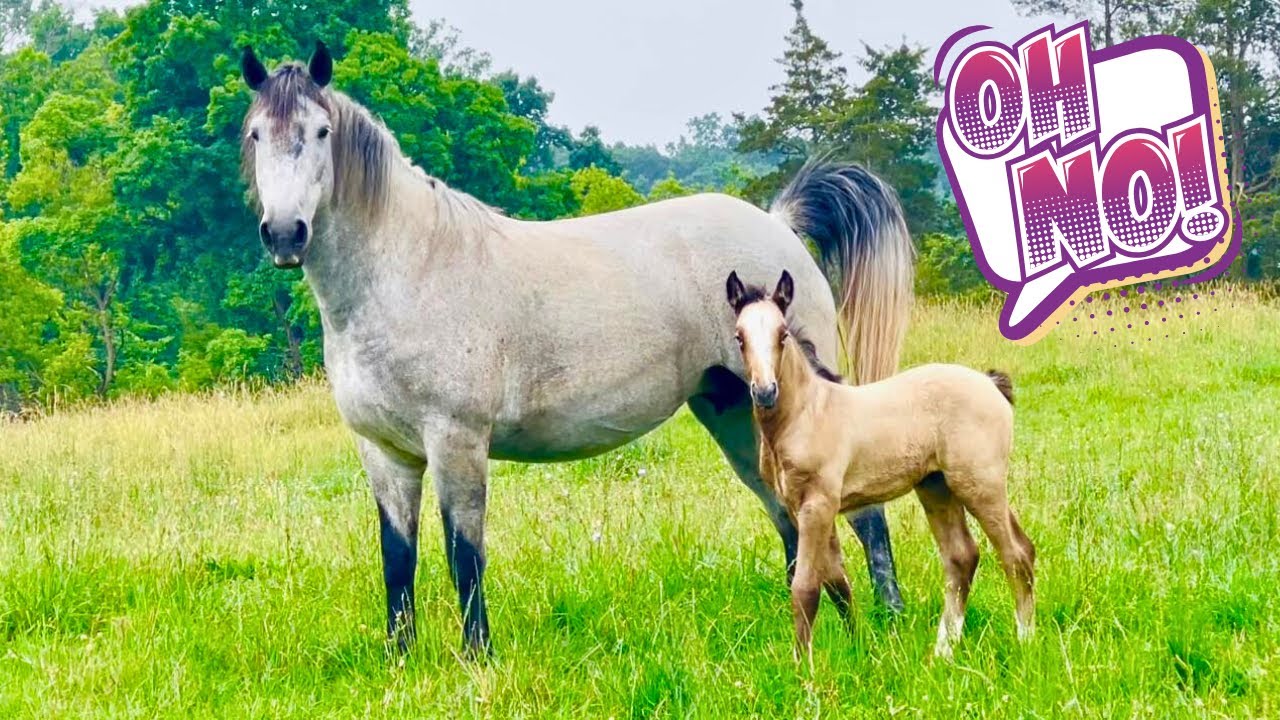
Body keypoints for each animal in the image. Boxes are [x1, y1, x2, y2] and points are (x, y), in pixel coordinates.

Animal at [238, 41, 915, 655]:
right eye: (254, 135)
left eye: (321, 131)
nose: (284, 233)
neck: (410, 269)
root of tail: (777, 223)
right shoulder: (385, 453)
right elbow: (397, 560)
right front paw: (401, 662)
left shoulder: (456, 442)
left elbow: (464, 555)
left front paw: (477, 660)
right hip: (736, 412)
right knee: (790, 518)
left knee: (861, 516)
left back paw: (886, 627)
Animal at [727, 270, 1034, 659]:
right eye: (740, 337)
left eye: (782, 334)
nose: (765, 392)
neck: (807, 413)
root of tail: (990, 382)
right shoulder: (802, 508)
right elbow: (837, 582)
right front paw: (859, 648)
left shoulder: (818, 504)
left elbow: (806, 587)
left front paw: (802, 666)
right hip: (938, 486)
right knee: (963, 557)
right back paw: (942, 652)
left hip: (981, 484)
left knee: (1016, 554)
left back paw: (1025, 640)